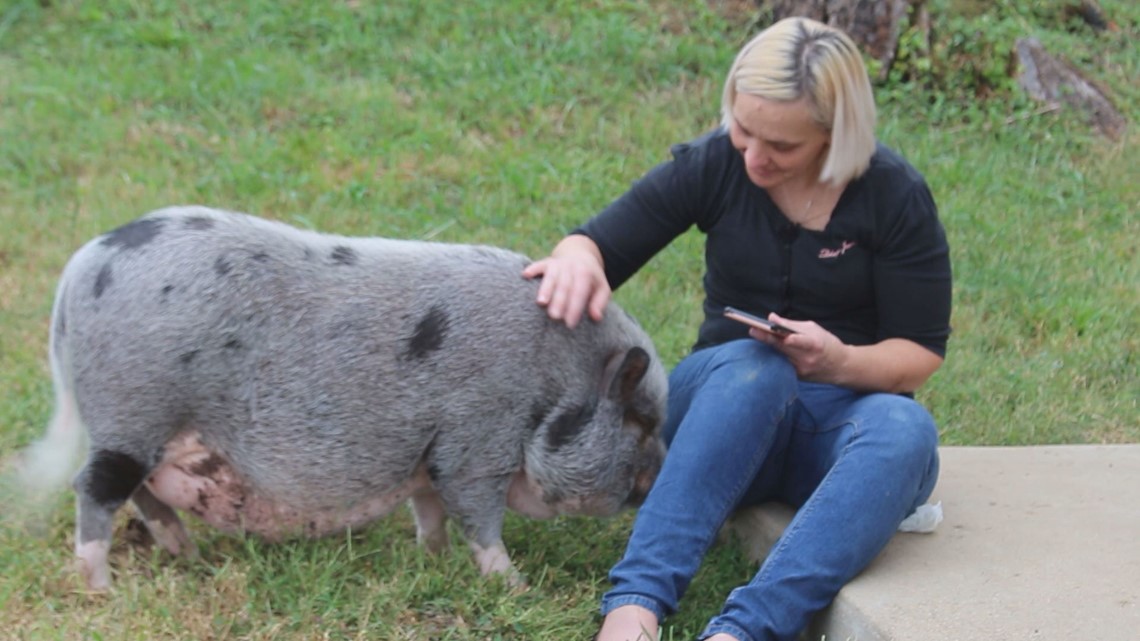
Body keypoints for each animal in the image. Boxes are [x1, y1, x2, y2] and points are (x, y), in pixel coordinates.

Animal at [19, 206, 668, 590]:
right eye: (640, 419)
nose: (660, 472)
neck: (552, 379)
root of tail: (83, 267)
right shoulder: (476, 441)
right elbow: (478, 518)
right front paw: (513, 586)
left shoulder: (426, 455)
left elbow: (430, 510)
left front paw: (432, 561)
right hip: (133, 410)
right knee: (94, 489)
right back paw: (101, 589)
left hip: (145, 431)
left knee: (139, 493)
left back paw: (187, 556)